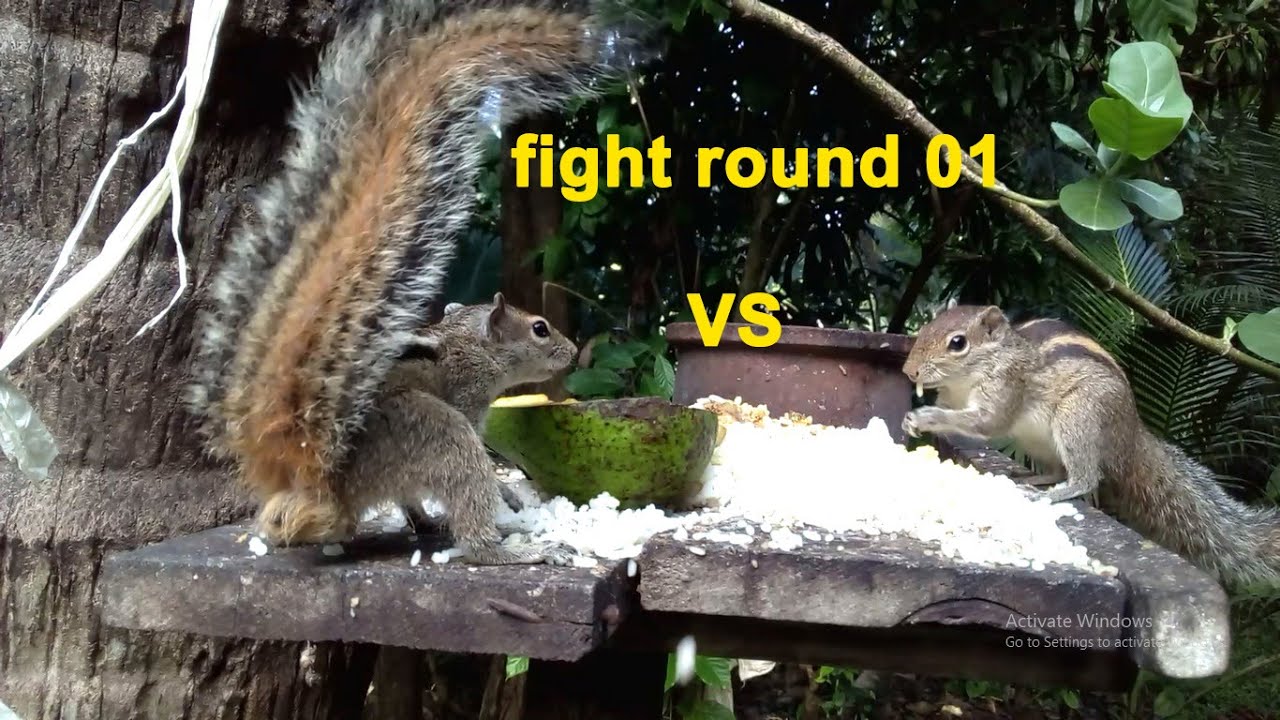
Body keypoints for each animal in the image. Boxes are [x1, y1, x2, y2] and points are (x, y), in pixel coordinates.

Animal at [184, 0, 653, 564]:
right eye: (540, 329)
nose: (571, 349)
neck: (471, 345)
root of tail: (321, 489)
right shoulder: (468, 402)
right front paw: (512, 494)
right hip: (435, 431)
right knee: (469, 515)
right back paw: (513, 551)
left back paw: (427, 525)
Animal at [900, 304, 1280, 587]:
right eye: (927, 326)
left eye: (957, 343)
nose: (909, 371)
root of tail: (1132, 434)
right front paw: (913, 417)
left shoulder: (1006, 389)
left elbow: (985, 424)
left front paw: (927, 417)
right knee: (1057, 470)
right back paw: (1031, 481)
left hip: (1078, 417)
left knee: (1084, 477)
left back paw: (1050, 493)